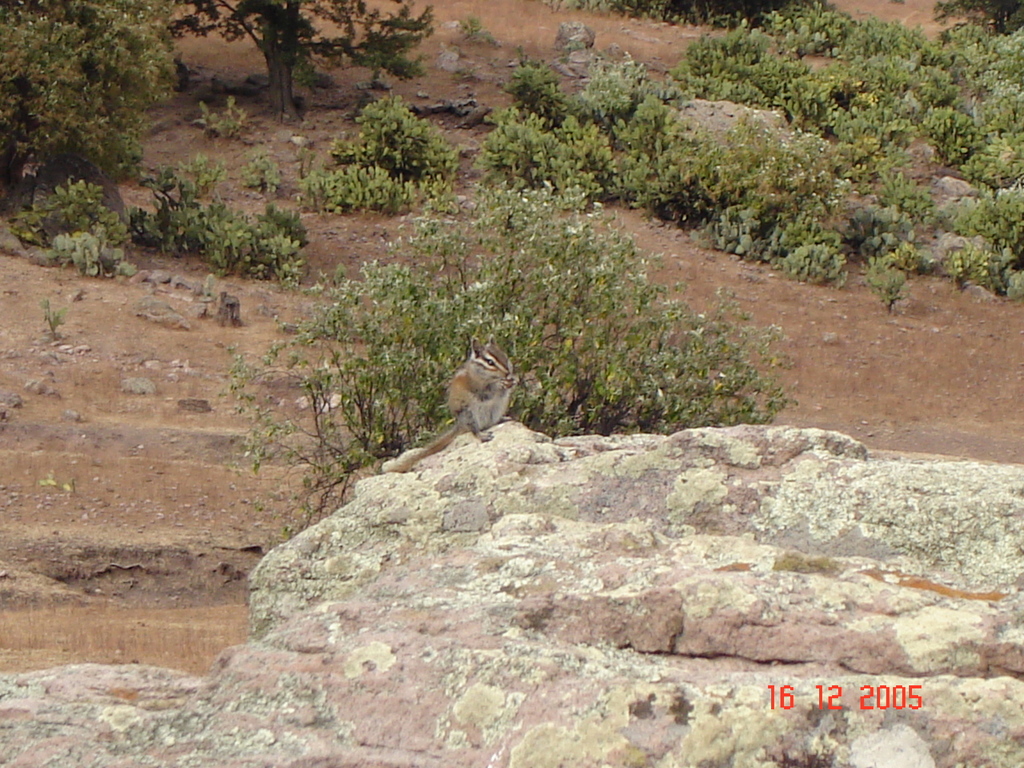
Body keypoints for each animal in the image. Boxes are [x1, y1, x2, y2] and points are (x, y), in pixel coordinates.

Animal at [384, 338, 516, 473]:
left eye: (505, 356)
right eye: (490, 362)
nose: (508, 373)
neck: (481, 373)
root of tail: (459, 425)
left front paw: (513, 380)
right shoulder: (477, 386)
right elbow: (488, 391)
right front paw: (500, 384)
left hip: (498, 408)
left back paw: (503, 419)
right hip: (469, 414)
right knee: (473, 430)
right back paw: (482, 435)